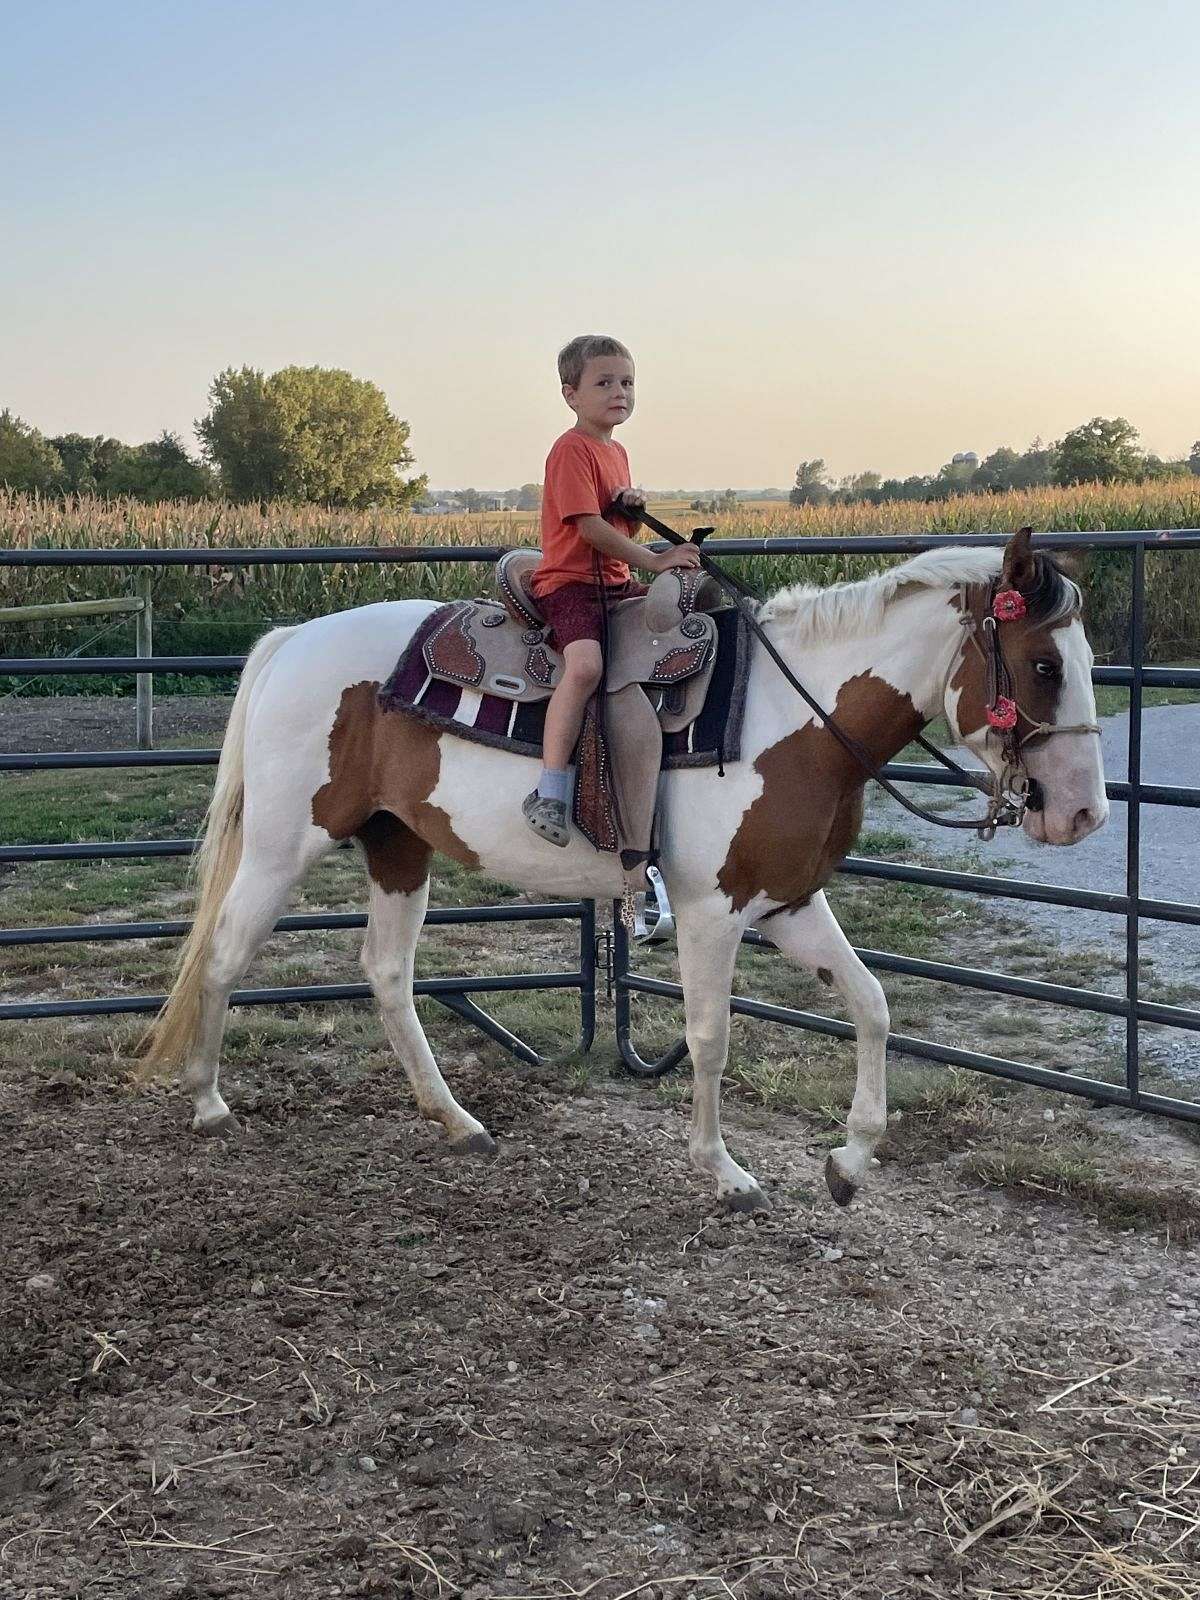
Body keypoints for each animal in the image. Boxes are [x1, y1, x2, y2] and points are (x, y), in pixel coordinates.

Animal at [142, 529, 1107, 1211]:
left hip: (398, 847)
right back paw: (208, 1102)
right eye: (1043, 664)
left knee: (385, 974)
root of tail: (293, 638)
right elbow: (712, 1039)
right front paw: (723, 1172)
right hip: (282, 844)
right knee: (223, 953)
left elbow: (872, 1006)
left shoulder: (790, 903)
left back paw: (456, 1122)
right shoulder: (713, 912)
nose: (1083, 813)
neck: (790, 719)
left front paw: (850, 1161)